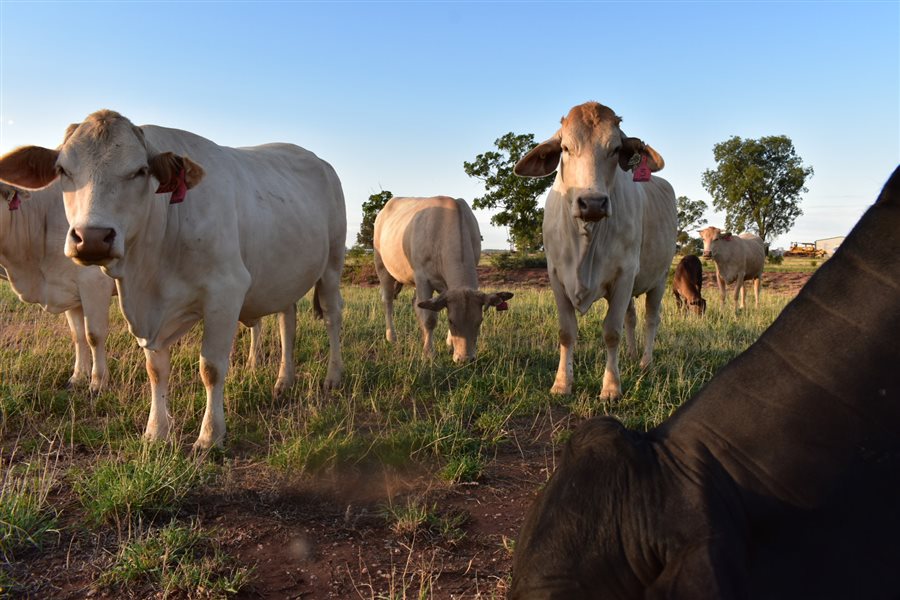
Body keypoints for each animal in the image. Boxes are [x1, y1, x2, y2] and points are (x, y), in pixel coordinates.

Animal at [0, 181, 115, 391]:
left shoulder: (95, 282)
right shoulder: (69, 290)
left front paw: (98, 382)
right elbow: (78, 335)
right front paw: (78, 376)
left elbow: (94, 335)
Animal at [373, 196, 513, 363]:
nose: (465, 359)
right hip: (382, 266)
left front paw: (449, 343)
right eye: (451, 321)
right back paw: (391, 337)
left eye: (480, 321)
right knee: (388, 301)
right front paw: (428, 352)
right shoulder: (422, 278)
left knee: (416, 303)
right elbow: (429, 319)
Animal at [514, 101, 677, 401]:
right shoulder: (556, 275)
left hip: (658, 278)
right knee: (631, 318)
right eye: (566, 148)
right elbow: (567, 331)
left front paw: (611, 387)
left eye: (615, 149)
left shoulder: (625, 275)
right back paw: (631, 354)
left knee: (651, 319)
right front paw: (562, 383)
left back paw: (645, 362)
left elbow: (611, 331)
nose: (592, 203)